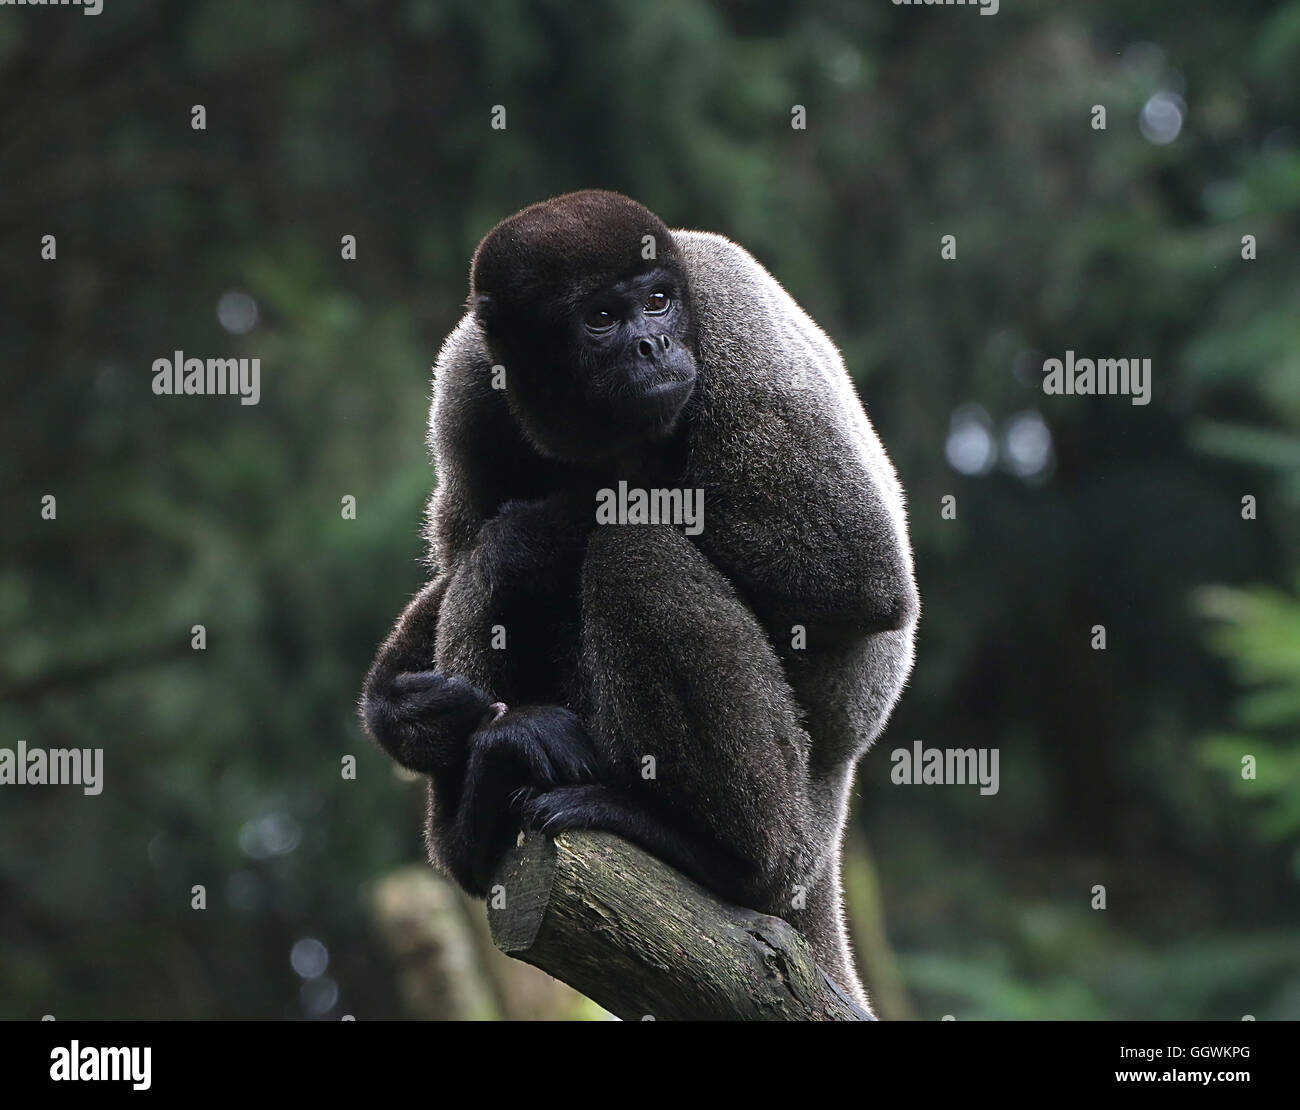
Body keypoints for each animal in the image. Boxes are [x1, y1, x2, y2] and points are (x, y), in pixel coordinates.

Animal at [361, 189, 919, 1010]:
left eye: (657, 303)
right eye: (601, 319)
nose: (653, 347)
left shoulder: (730, 319)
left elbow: (856, 566)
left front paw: (541, 526)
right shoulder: (467, 379)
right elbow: (459, 552)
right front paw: (397, 708)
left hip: (796, 814)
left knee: (635, 552)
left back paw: (720, 856)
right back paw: (477, 816)